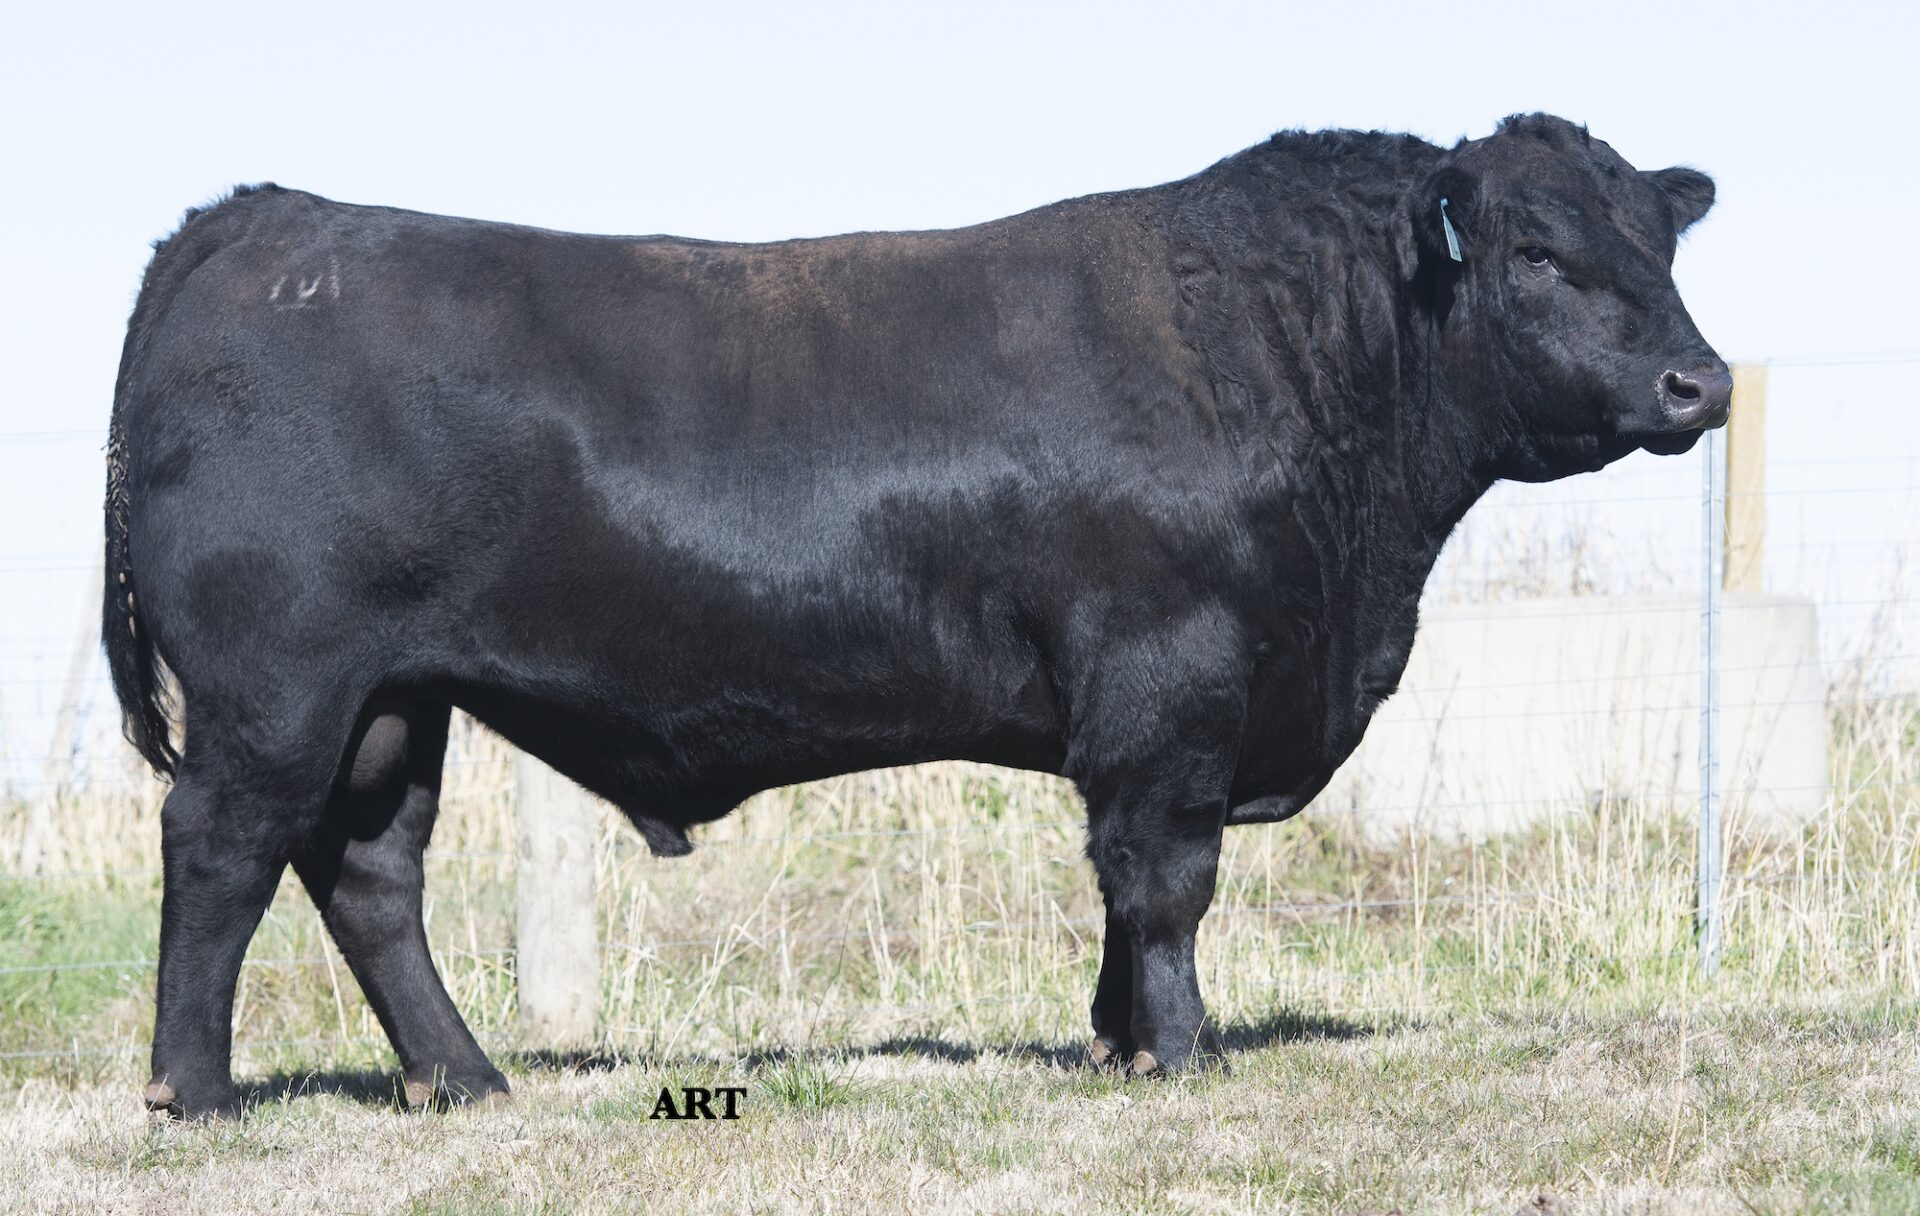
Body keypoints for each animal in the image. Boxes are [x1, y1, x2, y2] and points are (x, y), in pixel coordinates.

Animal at [104, 113, 1728, 1119]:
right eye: (1538, 252)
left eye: (1661, 243)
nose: (1698, 384)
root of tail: (265, 222)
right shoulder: (1172, 685)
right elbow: (1165, 881)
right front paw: (1183, 1057)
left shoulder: (1148, 716)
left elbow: (1117, 890)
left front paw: (1116, 1045)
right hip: (278, 693)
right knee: (224, 851)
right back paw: (197, 1094)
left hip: (393, 702)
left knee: (368, 874)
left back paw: (467, 1079)